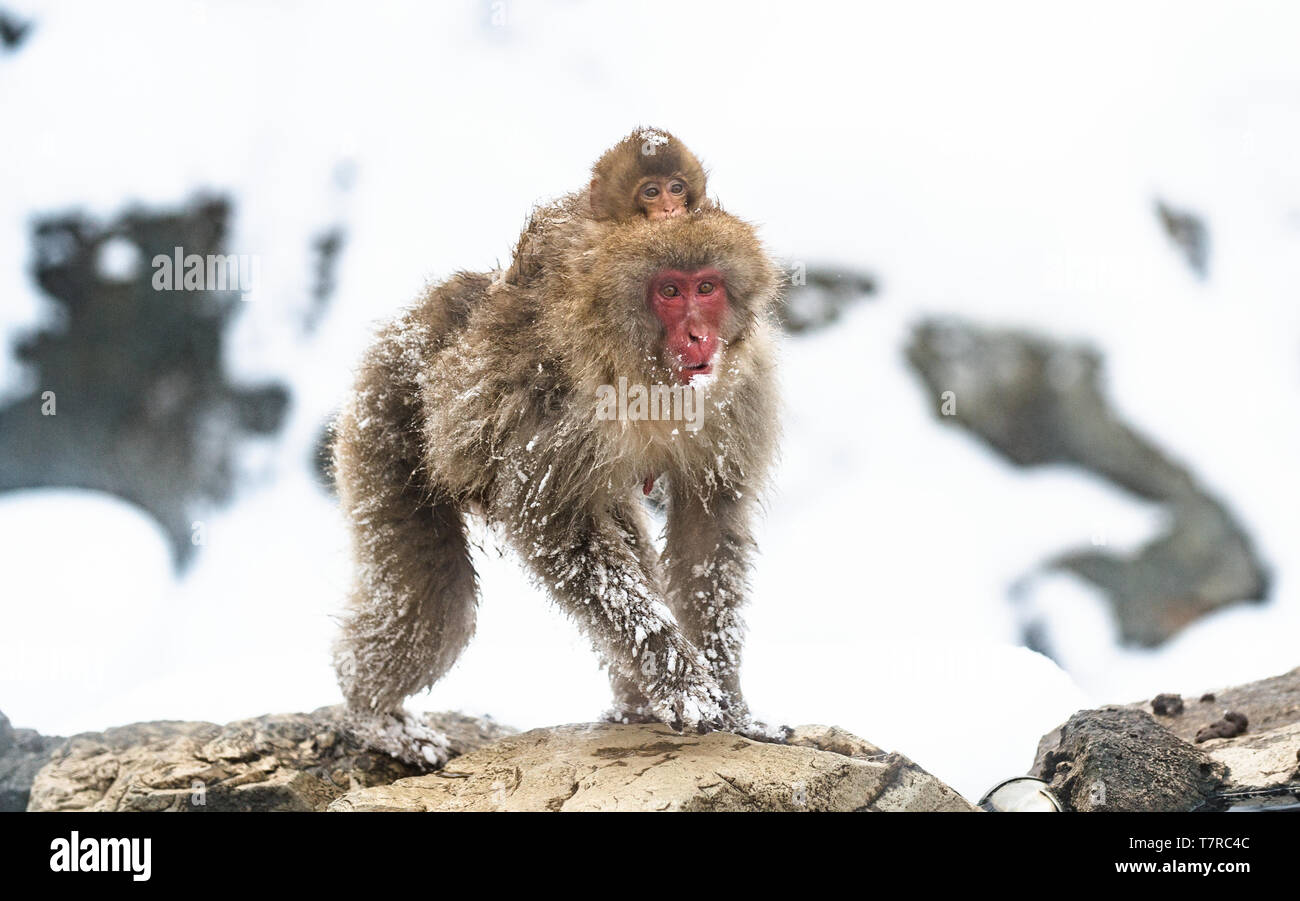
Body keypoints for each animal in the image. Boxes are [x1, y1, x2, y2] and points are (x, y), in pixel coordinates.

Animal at [331, 200, 783, 766]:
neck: (646, 376)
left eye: (707, 287)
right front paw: (682, 682)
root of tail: (415, 319)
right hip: (385, 420)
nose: (701, 335)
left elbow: (708, 531)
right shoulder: (552, 402)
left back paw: (634, 707)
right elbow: (553, 528)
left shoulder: (740, 395)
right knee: (435, 603)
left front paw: (731, 702)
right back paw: (372, 713)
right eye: (669, 291)